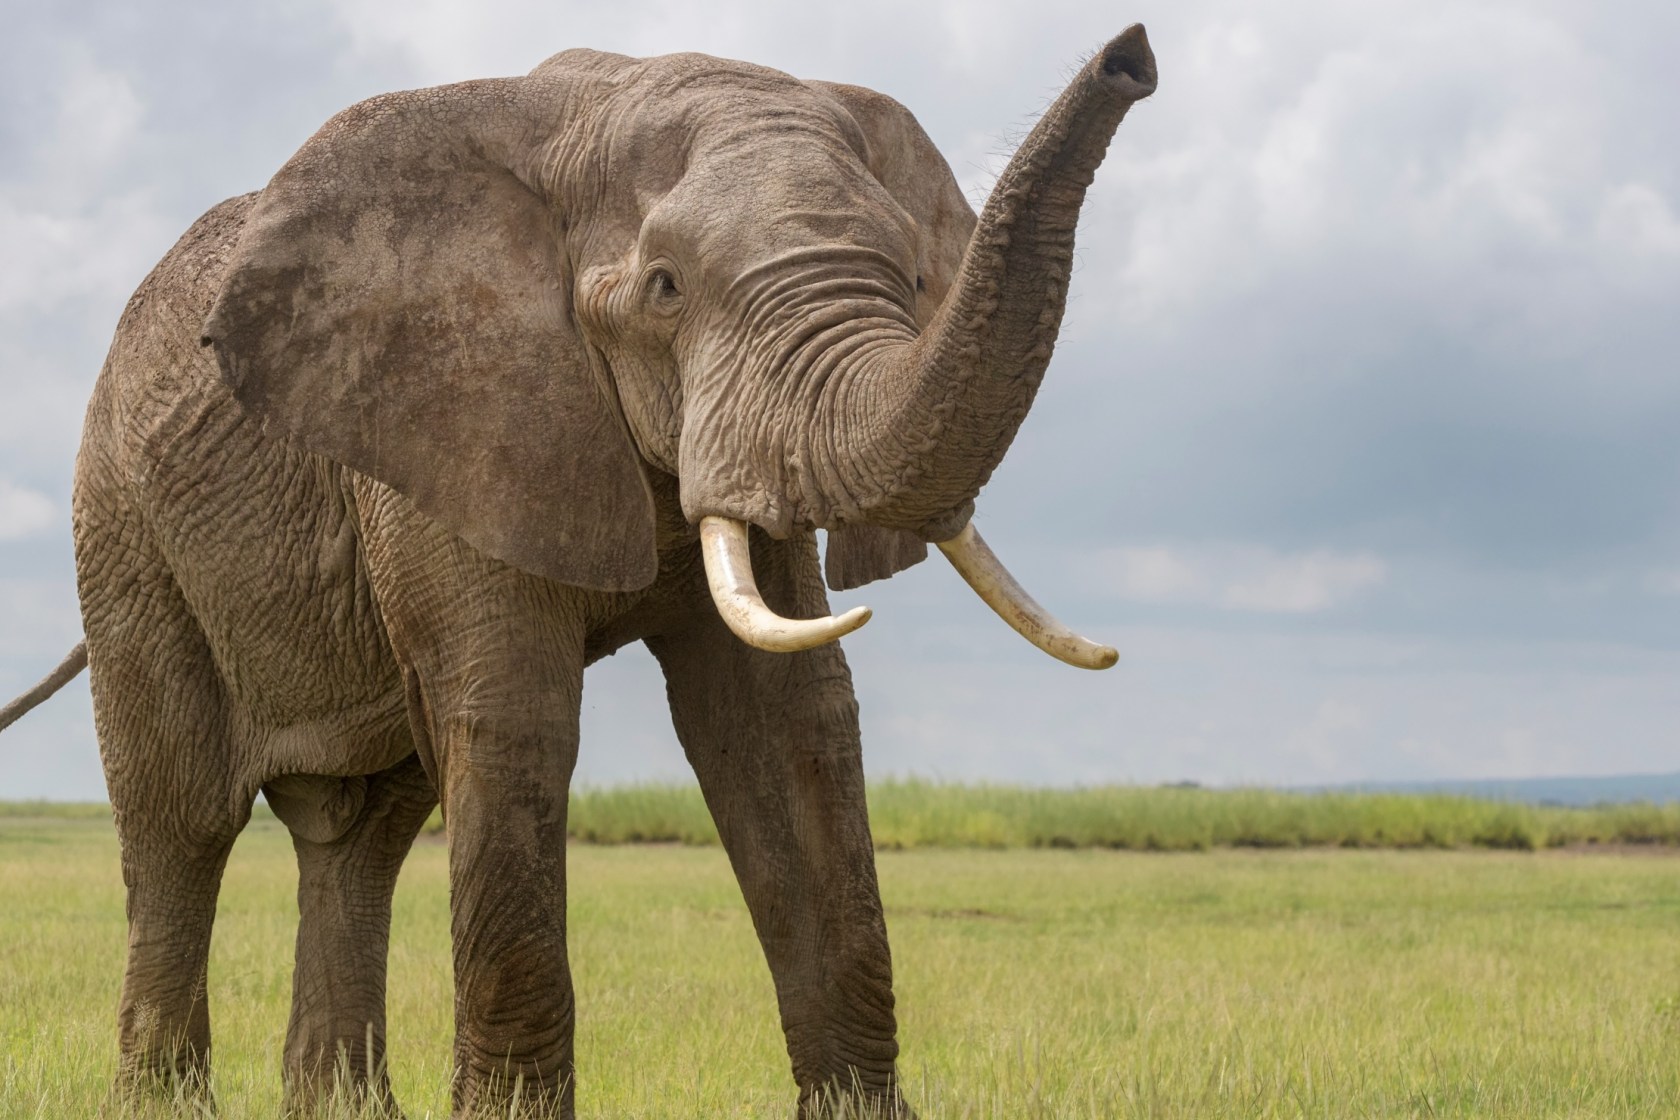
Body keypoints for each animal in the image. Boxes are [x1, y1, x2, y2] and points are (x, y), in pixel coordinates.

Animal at [0, 25, 1156, 1119]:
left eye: (916, 279)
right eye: (664, 288)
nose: (1134, 57)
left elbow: (785, 720)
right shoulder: (452, 414)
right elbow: (518, 718)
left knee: (363, 832)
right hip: (123, 523)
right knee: (183, 817)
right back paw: (160, 1096)